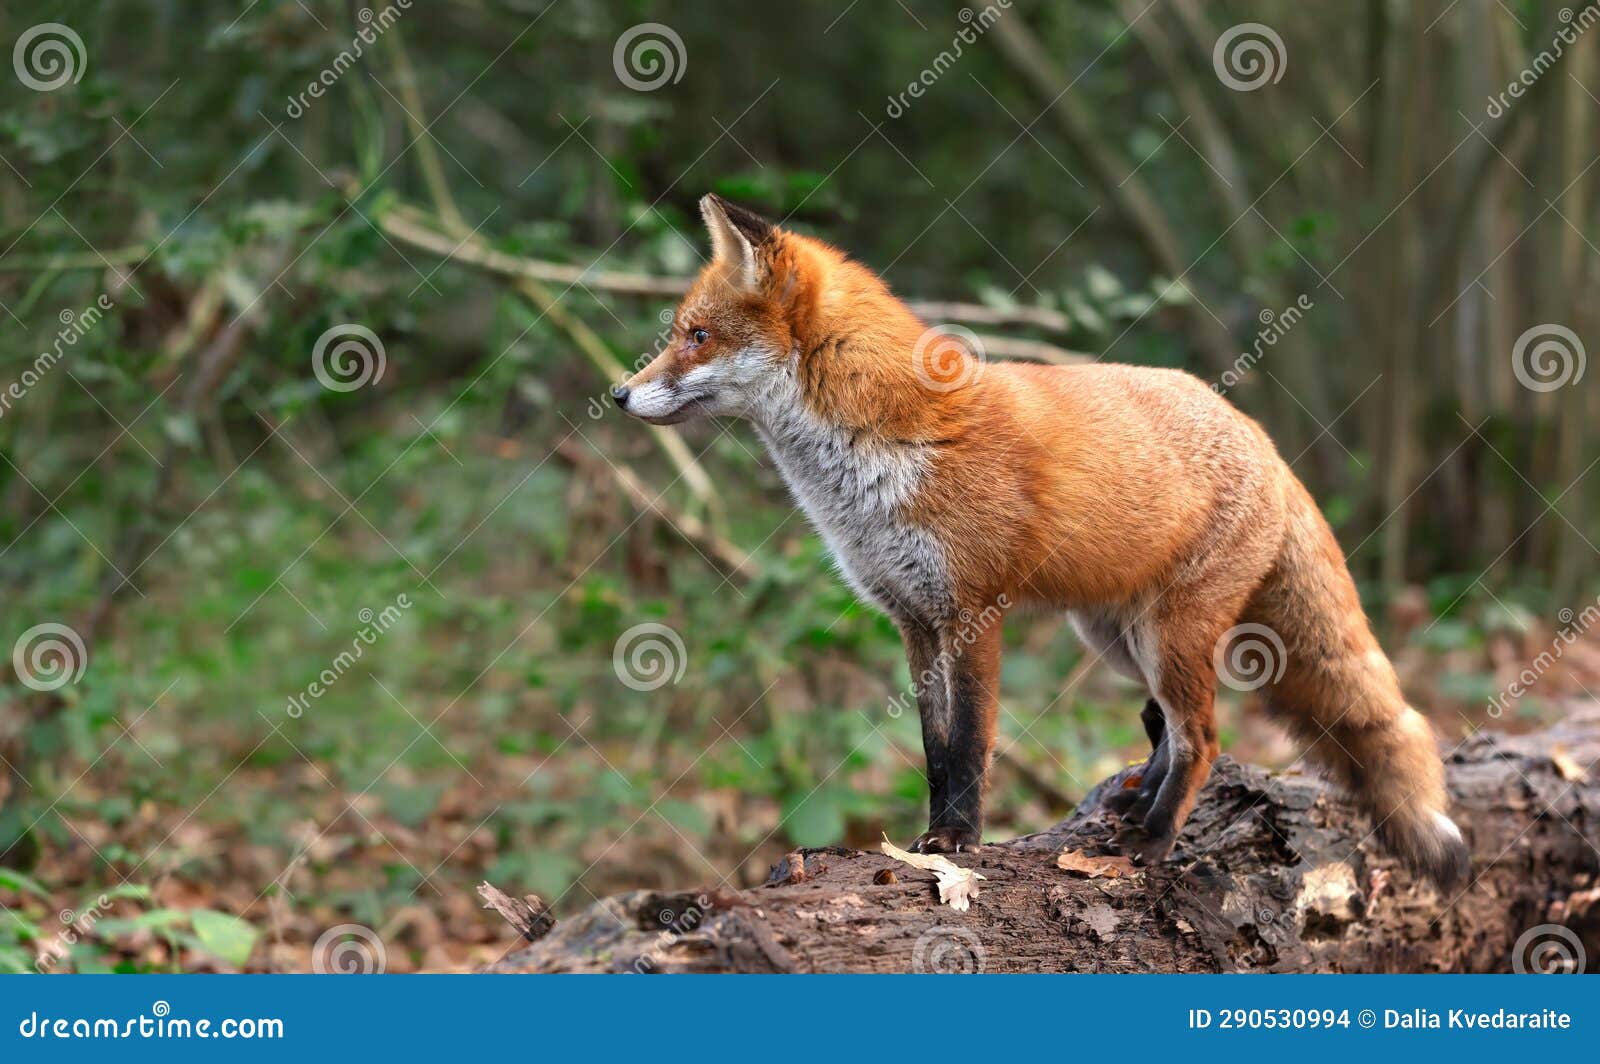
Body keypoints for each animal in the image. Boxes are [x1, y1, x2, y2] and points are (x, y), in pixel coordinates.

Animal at [612, 193, 1470, 889]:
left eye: (696, 336)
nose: (618, 394)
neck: (879, 457)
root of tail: (1259, 435)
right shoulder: (914, 619)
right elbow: (932, 749)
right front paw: (930, 837)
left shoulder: (974, 610)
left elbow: (969, 745)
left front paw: (957, 841)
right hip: (1115, 637)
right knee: (1161, 723)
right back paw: (1134, 803)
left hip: (1170, 635)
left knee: (1203, 737)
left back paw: (1152, 842)